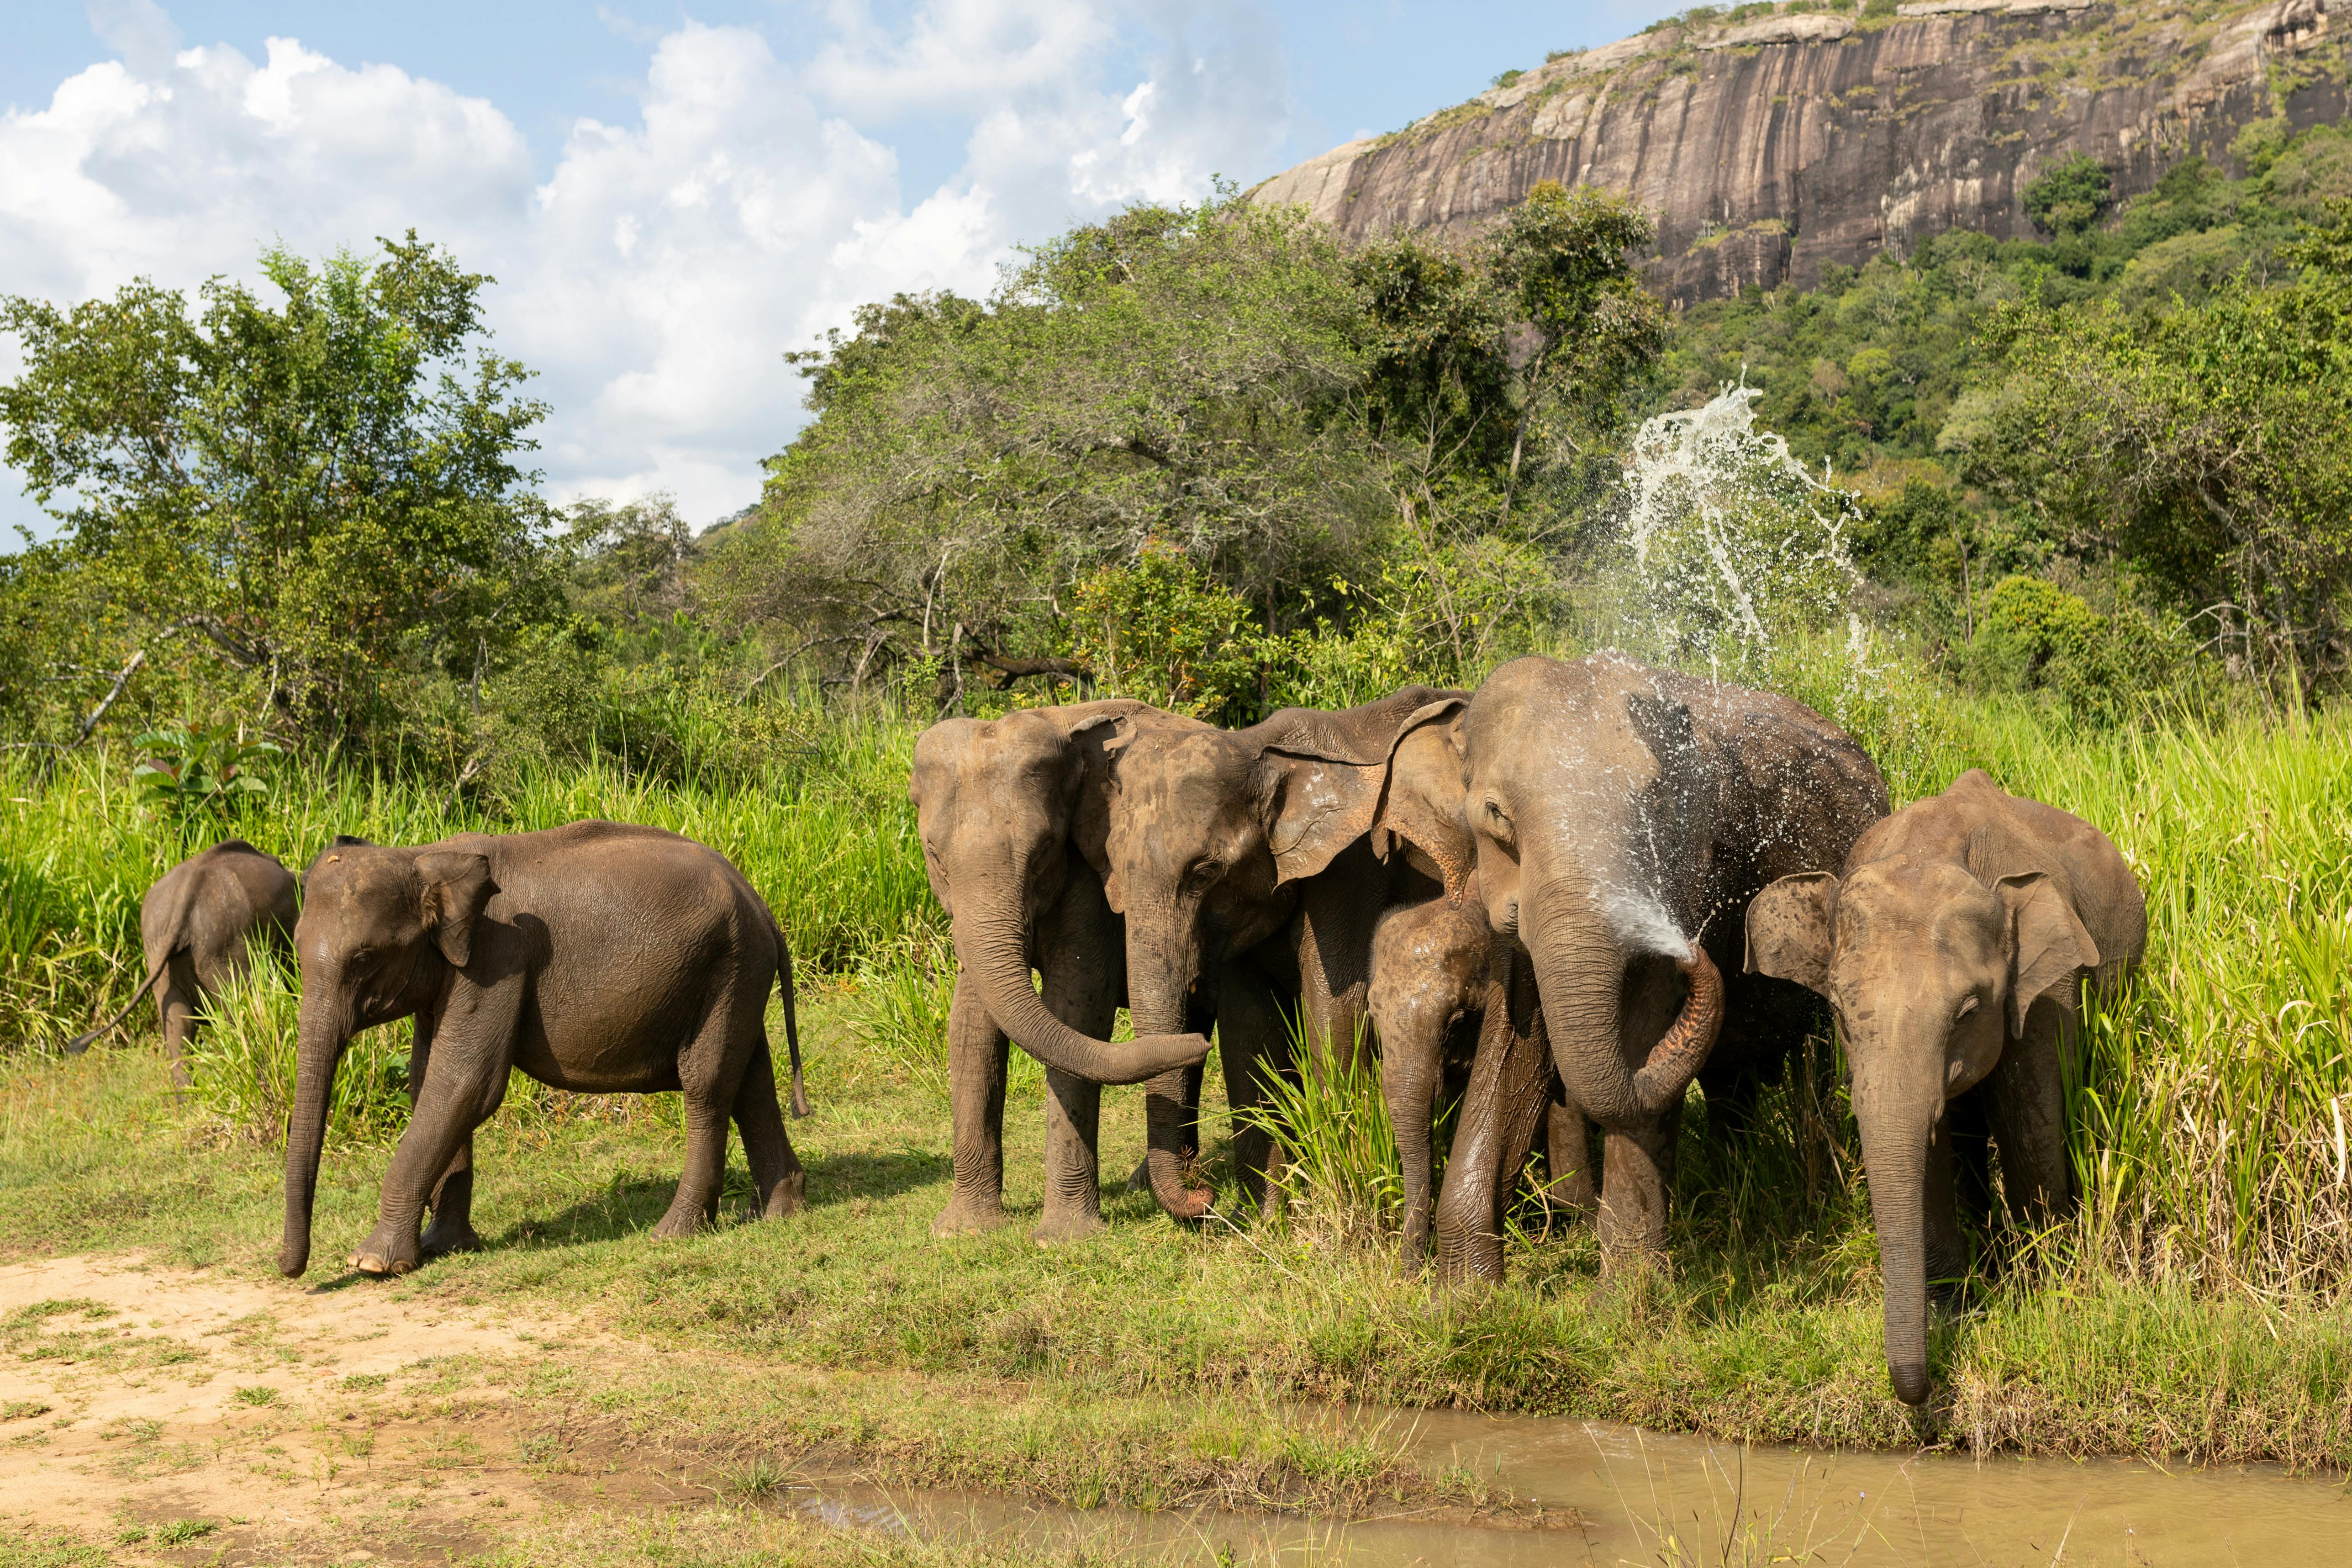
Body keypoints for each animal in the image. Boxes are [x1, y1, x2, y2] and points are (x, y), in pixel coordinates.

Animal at [277, 821, 809, 1279]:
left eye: (364, 958)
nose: (288, 1268)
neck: (424, 857)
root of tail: (763, 908)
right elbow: (428, 1079)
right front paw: (442, 1247)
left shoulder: (498, 956)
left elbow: (467, 1081)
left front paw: (372, 1263)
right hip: (738, 972)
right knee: (751, 1082)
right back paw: (780, 1213)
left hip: (727, 967)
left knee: (707, 1085)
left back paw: (672, 1234)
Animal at [908, 702, 1214, 1241]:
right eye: (935, 856)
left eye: (1046, 849)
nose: (1193, 1044)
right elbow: (970, 1024)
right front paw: (961, 1231)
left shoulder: (1093, 876)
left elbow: (1076, 1012)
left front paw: (1063, 1239)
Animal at [1375, 654, 1889, 1279]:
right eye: (1496, 815)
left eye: (1656, 814)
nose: (1695, 949)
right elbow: (1512, 1047)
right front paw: (1462, 1291)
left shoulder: (1691, 877)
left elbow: (1644, 1029)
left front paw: (1623, 1294)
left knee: (1814, 1068)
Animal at [1744, 768, 2146, 1404]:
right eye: (1836, 1011)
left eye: (1967, 1012)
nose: (1919, 1390)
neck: (1931, 847)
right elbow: (1927, 1145)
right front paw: (1952, 1310)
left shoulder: (2045, 989)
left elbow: (2028, 1121)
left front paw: (2042, 1294)